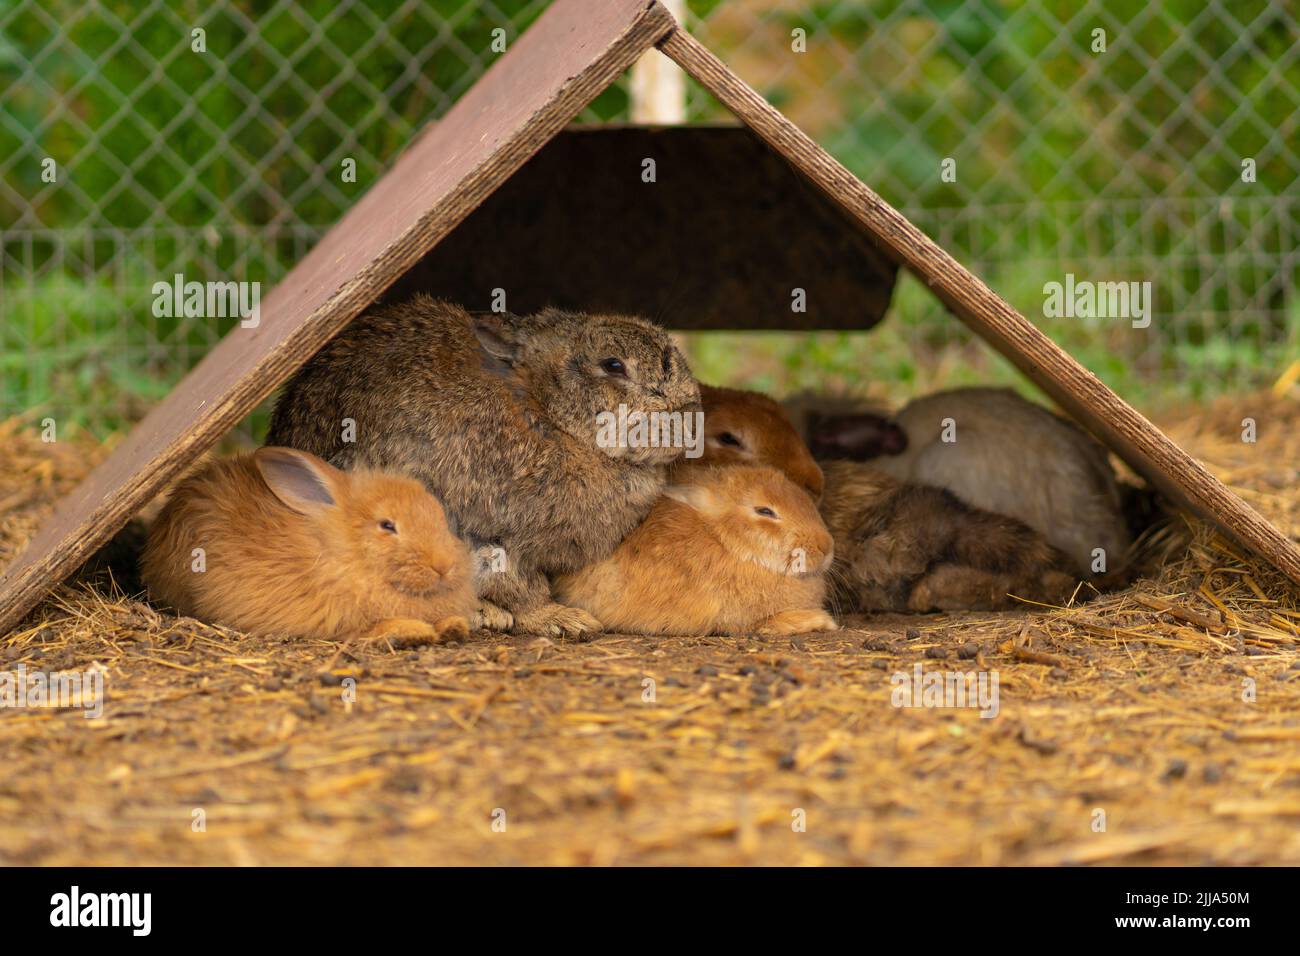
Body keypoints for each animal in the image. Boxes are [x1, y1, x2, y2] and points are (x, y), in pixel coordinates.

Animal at [141, 447, 477, 643]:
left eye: (439, 514)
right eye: (387, 526)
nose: (444, 566)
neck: (344, 552)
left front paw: (454, 626)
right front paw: (414, 631)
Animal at [265, 295, 701, 637]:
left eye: (668, 355)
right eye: (613, 365)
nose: (688, 416)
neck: (547, 412)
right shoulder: (491, 537)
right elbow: (519, 586)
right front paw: (563, 620)